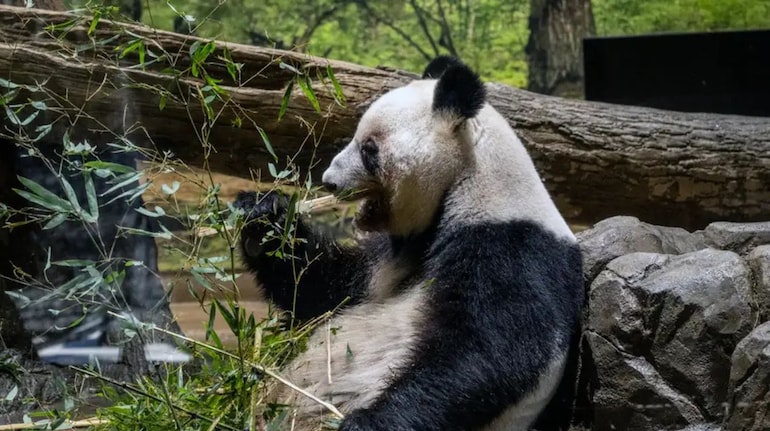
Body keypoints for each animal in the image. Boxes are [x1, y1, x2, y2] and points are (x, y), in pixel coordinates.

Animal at [233, 56, 584, 431]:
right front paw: (263, 214)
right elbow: (325, 291)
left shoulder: (511, 246)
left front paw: (364, 423)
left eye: (369, 149)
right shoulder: (392, 255)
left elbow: (490, 353)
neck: (467, 181)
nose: (329, 182)